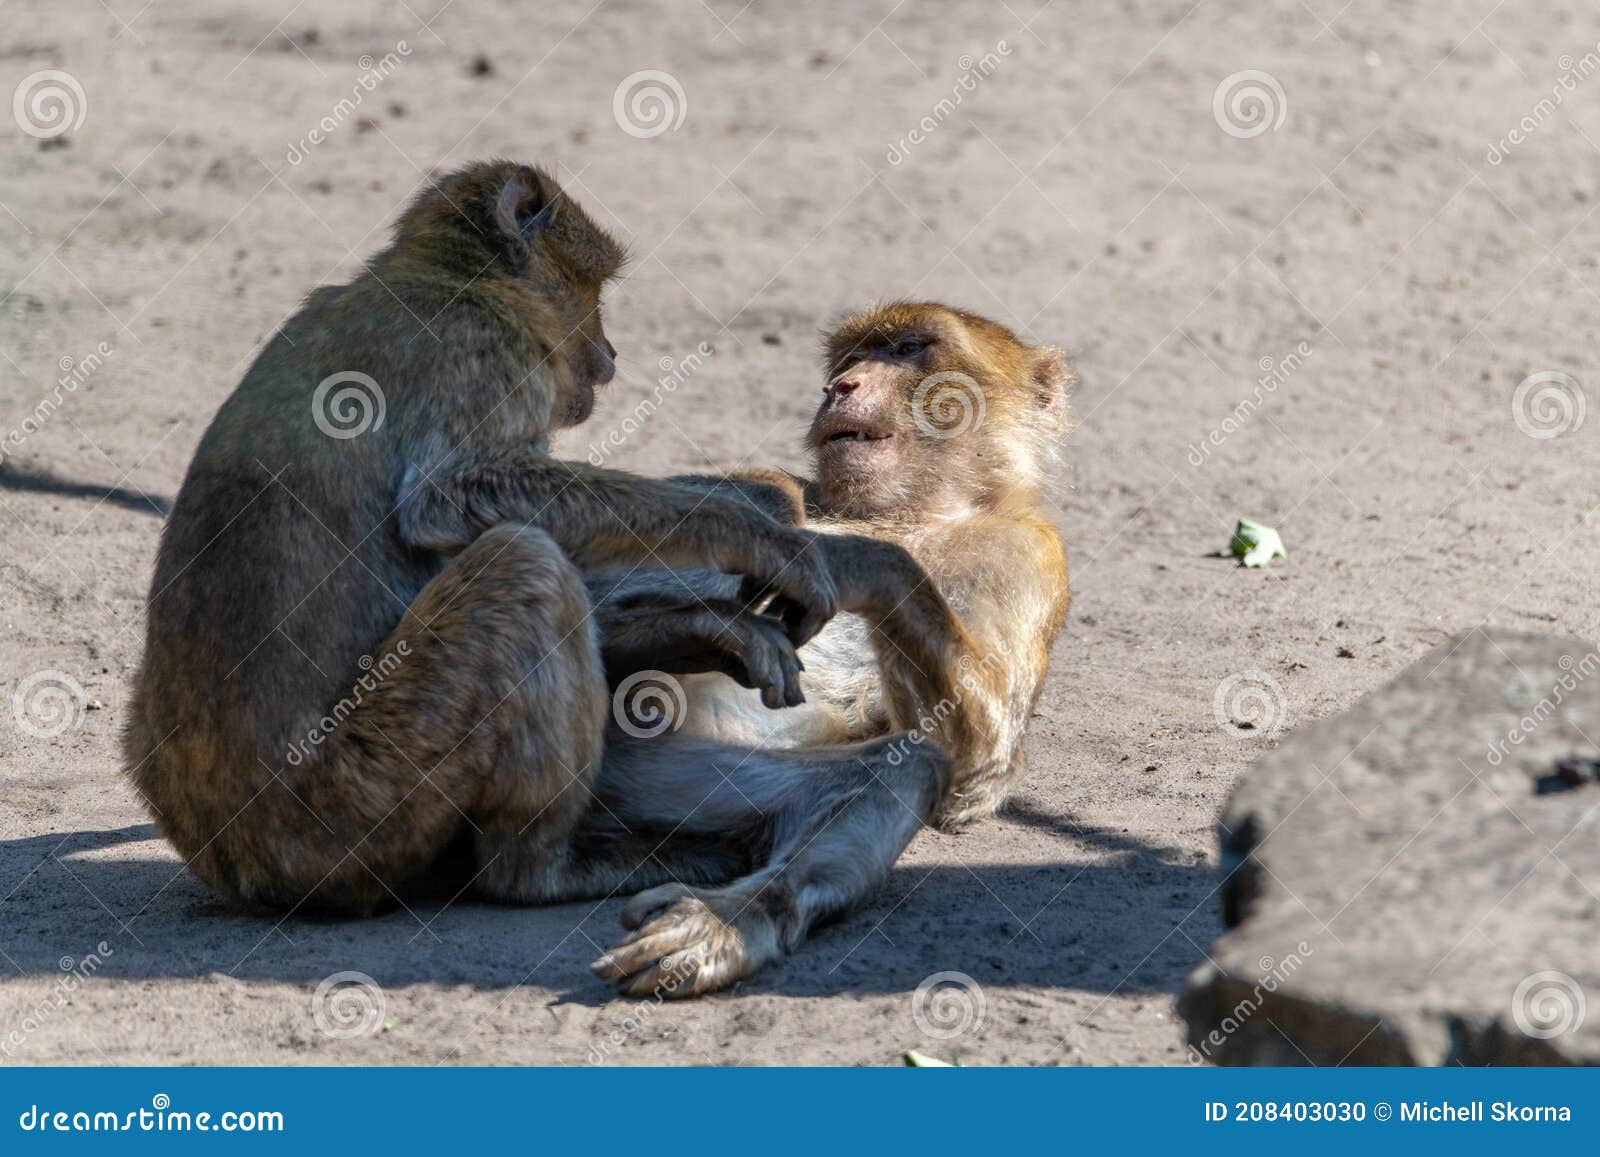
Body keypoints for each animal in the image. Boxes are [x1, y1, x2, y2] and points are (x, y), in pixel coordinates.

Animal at [121, 160, 839, 918]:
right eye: (593, 286)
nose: (610, 355)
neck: (446, 276)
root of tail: (234, 858)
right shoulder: (486, 346)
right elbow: (451, 494)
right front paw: (749, 530)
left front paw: (704, 622)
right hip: (357, 799)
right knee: (524, 564)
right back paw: (542, 868)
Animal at [579, 302, 1072, 996]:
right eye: (852, 357)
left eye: (908, 348)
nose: (840, 387)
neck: (915, 512)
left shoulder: (1030, 554)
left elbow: (976, 773)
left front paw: (867, 564)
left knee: (903, 768)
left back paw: (733, 920)